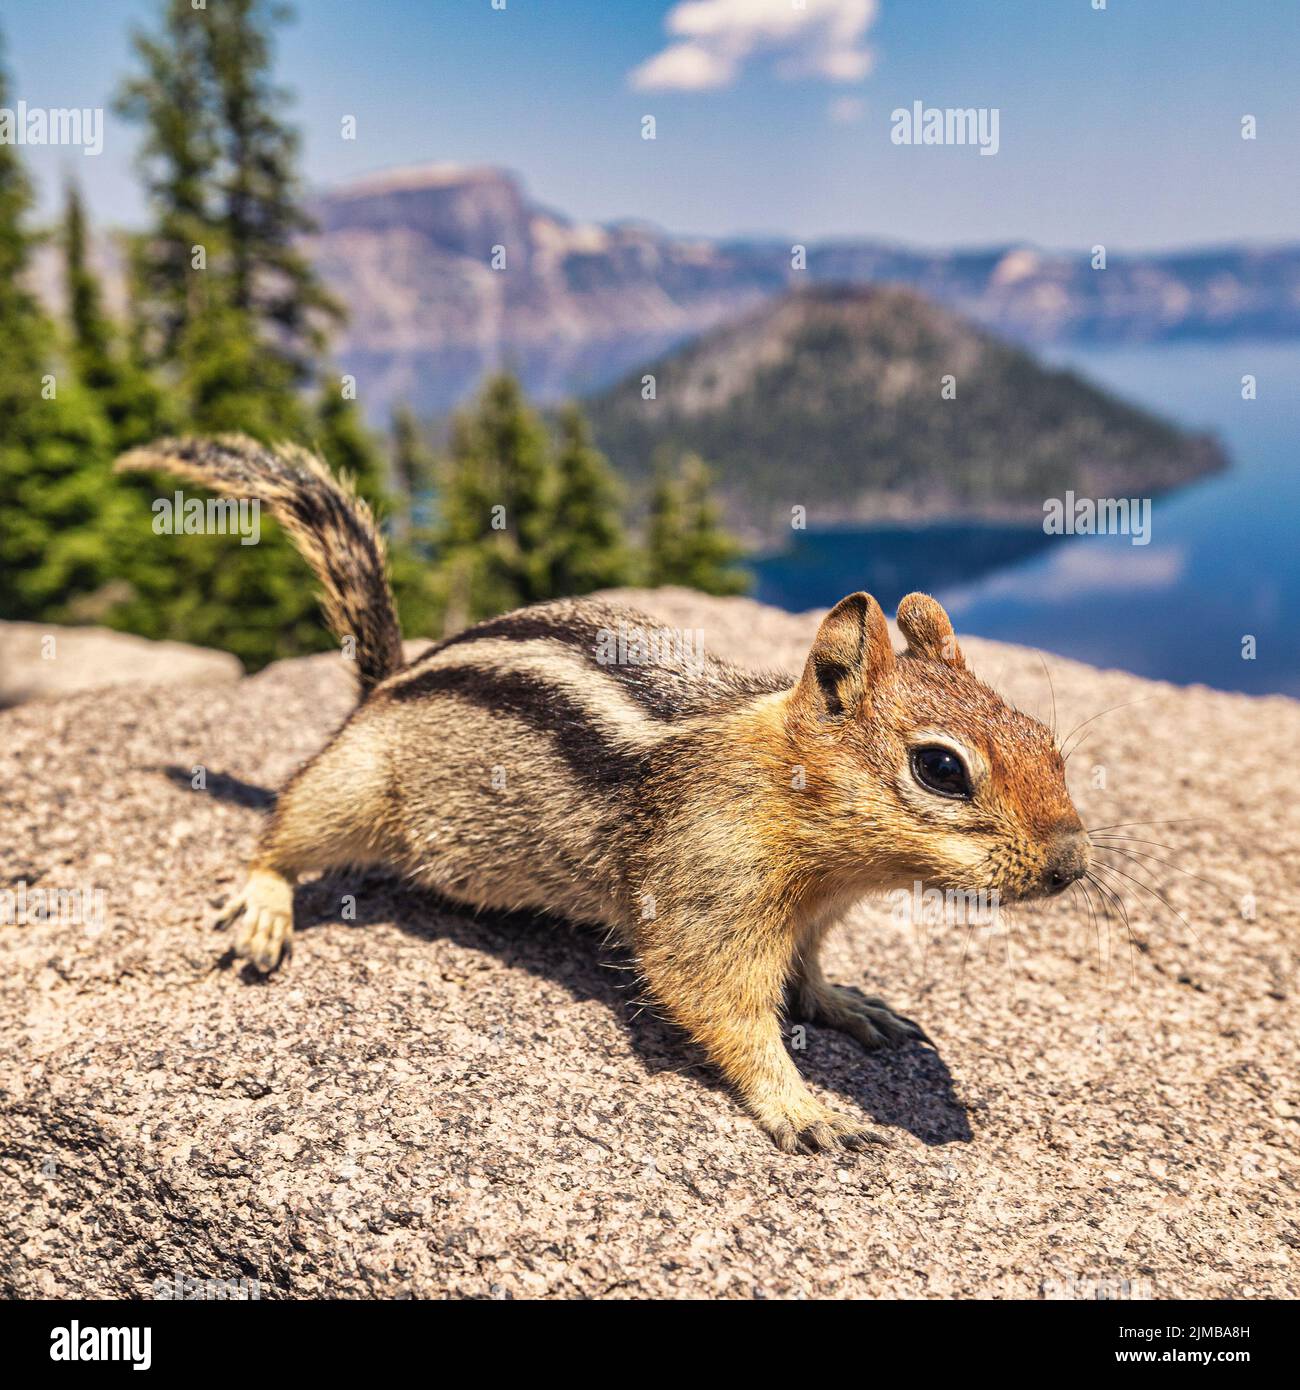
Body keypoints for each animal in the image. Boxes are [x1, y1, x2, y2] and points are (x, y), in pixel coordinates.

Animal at [117, 435, 1092, 1154]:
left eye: (1047, 743)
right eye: (941, 769)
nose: (1073, 866)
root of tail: (385, 681)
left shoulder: (809, 916)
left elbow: (807, 974)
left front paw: (852, 1005)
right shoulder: (708, 899)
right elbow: (720, 1005)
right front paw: (804, 1110)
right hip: (353, 790)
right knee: (284, 829)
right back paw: (263, 907)